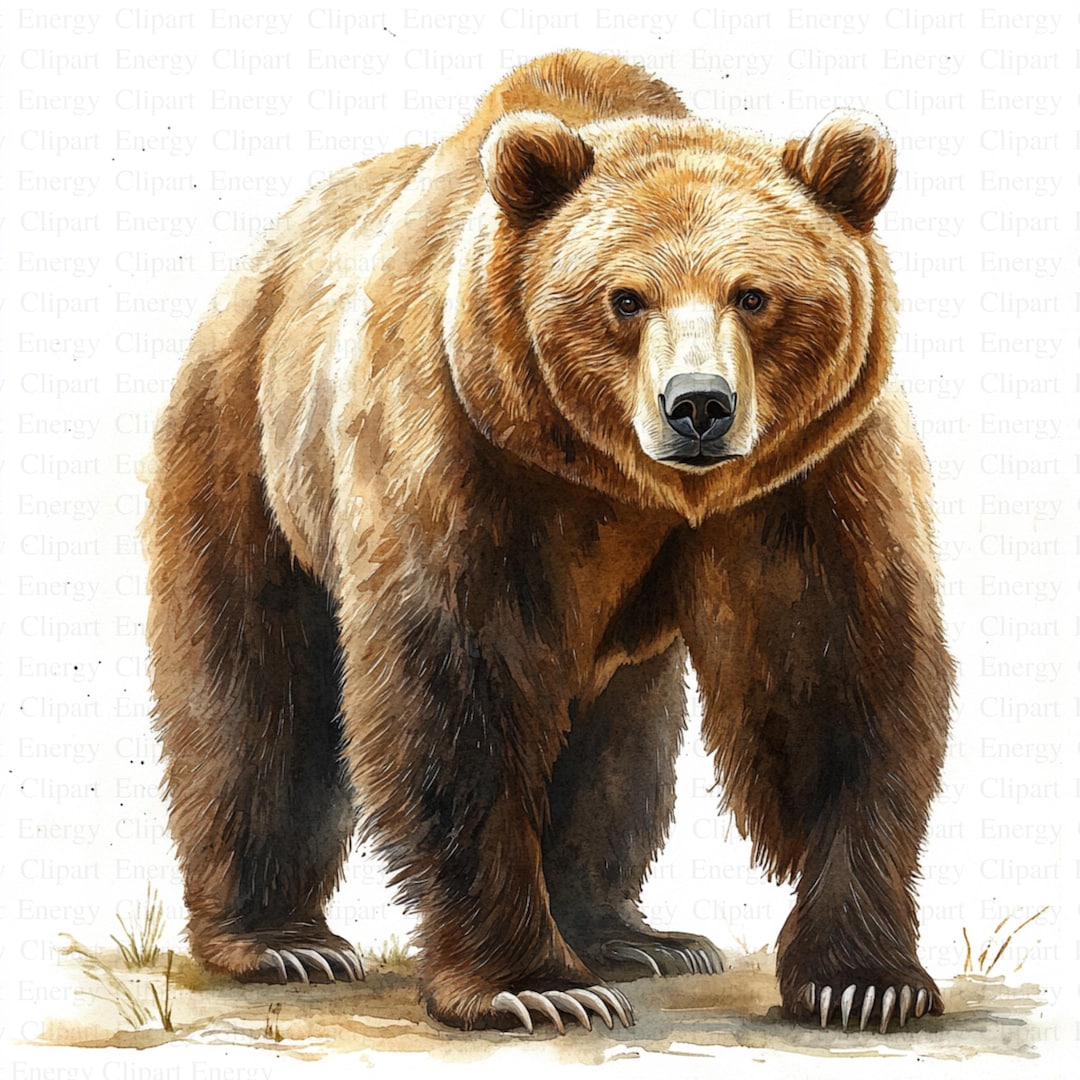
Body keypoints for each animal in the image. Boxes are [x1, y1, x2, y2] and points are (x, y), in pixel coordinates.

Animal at [144, 50, 953, 1035]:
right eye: (625, 297)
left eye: (754, 295)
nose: (699, 405)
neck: (628, 483)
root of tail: (263, 255)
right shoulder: (468, 449)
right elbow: (456, 688)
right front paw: (530, 985)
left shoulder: (811, 474)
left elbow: (834, 675)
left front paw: (864, 979)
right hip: (246, 446)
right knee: (256, 688)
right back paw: (280, 941)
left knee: (623, 737)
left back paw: (631, 934)